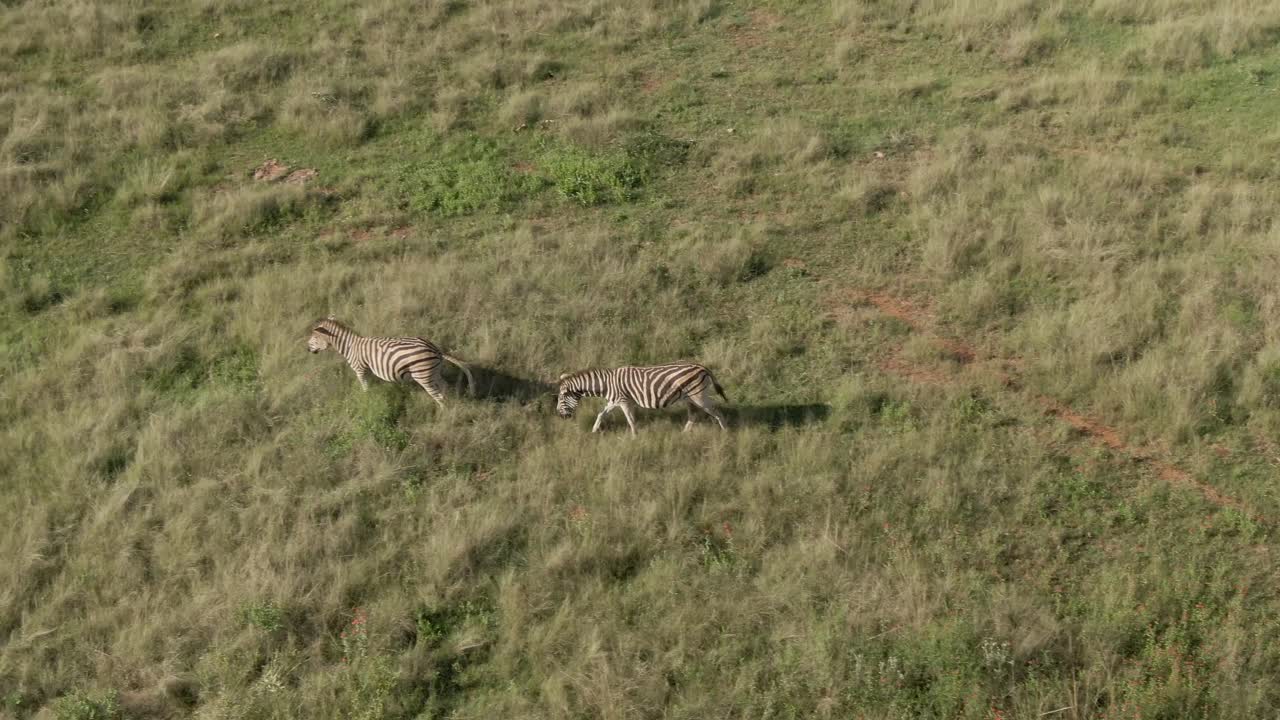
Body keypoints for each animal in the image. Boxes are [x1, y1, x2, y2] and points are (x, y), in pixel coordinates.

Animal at [307, 316, 474, 407]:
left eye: (314, 337)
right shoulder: (369, 369)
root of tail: (435, 349)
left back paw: (443, 416)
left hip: (422, 376)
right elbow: (371, 385)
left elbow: (365, 387)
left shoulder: (360, 370)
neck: (350, 346)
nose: (307, 349)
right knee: (445, 388)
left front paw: (366, 399)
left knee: (438, 396)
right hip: (434, 373)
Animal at [555, 363, 729, 434]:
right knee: (693, 415)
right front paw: (593, 431)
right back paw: (683, 435)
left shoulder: (623, 401)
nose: (560, 416)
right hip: (689, 398)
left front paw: (634, 438)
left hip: (698, 396)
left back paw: (726, 434)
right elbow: (601, 414)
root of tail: (702, 367)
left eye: (562, 398)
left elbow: (630, 420)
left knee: (717, 412)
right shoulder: (615, 401)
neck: (606, 384)